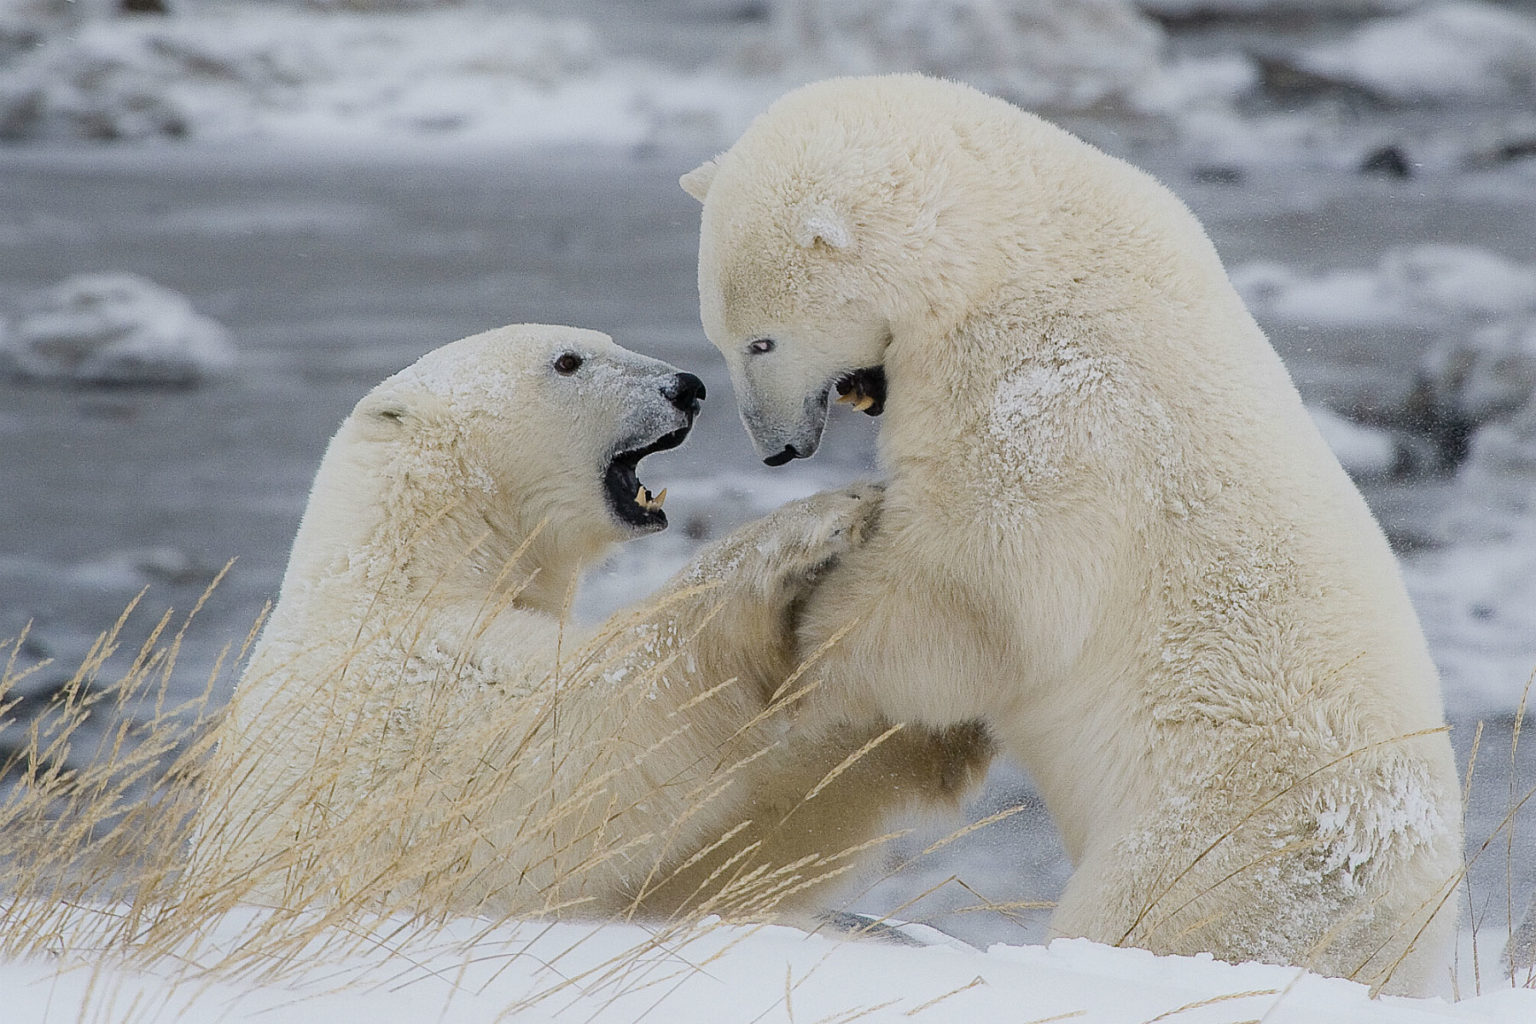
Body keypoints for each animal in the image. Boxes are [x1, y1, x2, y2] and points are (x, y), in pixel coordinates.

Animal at [190, 323, 988, 922]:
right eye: (569, 360)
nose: (687, 386)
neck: (401, 562)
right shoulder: (406, 706)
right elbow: (586, 738)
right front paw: (817, 522)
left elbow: (715, 854)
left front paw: (929, 726)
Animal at [680, 74, 1463, 994]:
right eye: (722, 335)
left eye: (761, 339)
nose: (777, 448)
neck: (1007, 245)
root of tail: (1419, 918)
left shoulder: (1057, 392)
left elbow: (982, 584)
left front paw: (807, 646)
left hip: (1235, 845)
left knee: (1153, 915)